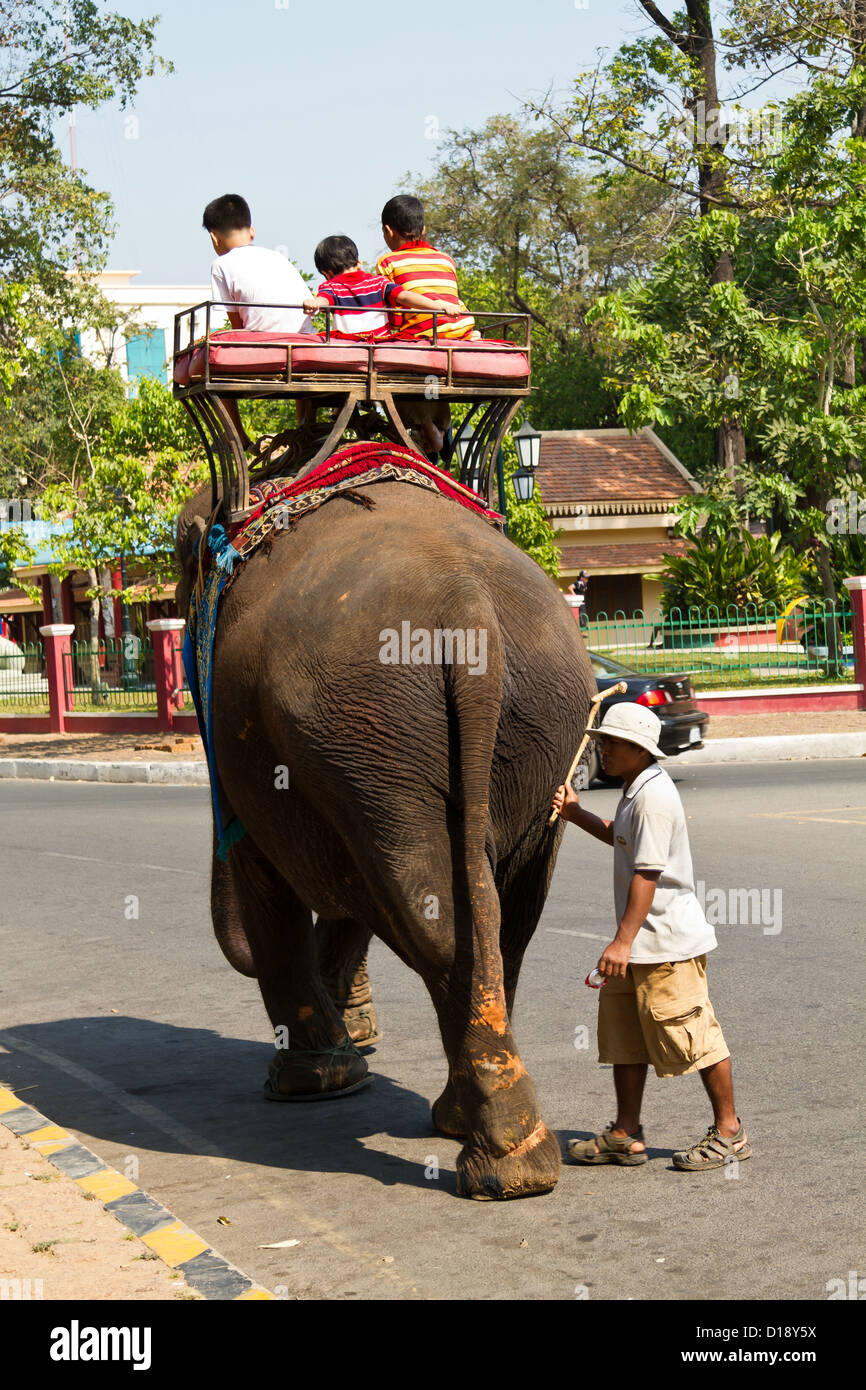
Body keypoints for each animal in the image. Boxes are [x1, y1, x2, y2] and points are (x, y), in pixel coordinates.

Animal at [176, 472, 595, 1199]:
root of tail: (468, 608)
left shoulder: (261, 763)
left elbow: (275, 886)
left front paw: (313, 1080)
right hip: (516, 730)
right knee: (499, 912)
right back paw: (487, 1137)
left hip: (365, 735)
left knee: (429, 913)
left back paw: (496, 1159)